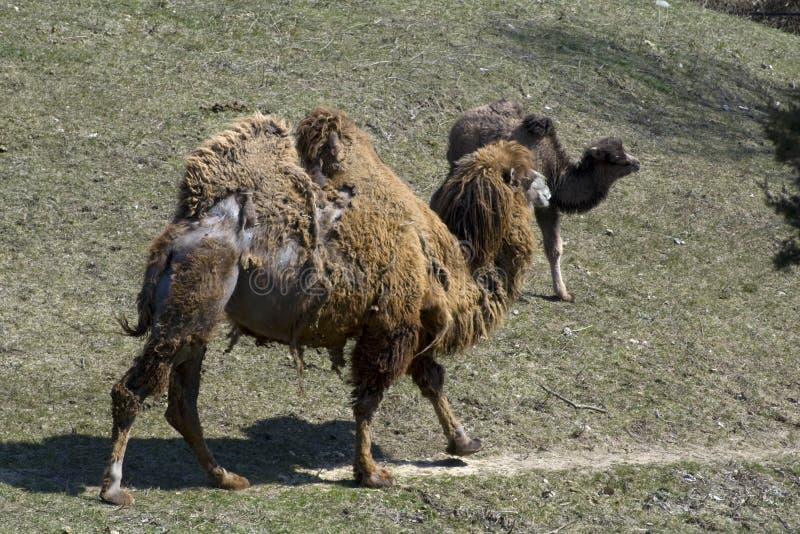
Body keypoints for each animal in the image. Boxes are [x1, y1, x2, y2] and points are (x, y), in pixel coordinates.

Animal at [99, 108, 550, 505]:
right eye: (525, 176)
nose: (547, 189)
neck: (447, 262)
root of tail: (175, 241)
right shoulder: (391, 325)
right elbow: (369, 398)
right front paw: (371, 473)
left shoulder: (408, 324)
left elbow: (431, 379)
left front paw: (464, 441)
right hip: (190, 306)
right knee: (133, 390)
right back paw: (115, 488)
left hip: (197, 320)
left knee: (182, 403)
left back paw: (225, 477)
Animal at [445, 99, 641, 302]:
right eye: (617, 158)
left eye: (625, 150)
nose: (637, 163)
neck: (557, 175)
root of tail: (464, 118)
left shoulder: (550, 205)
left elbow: (554, 248)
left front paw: (563, 293)